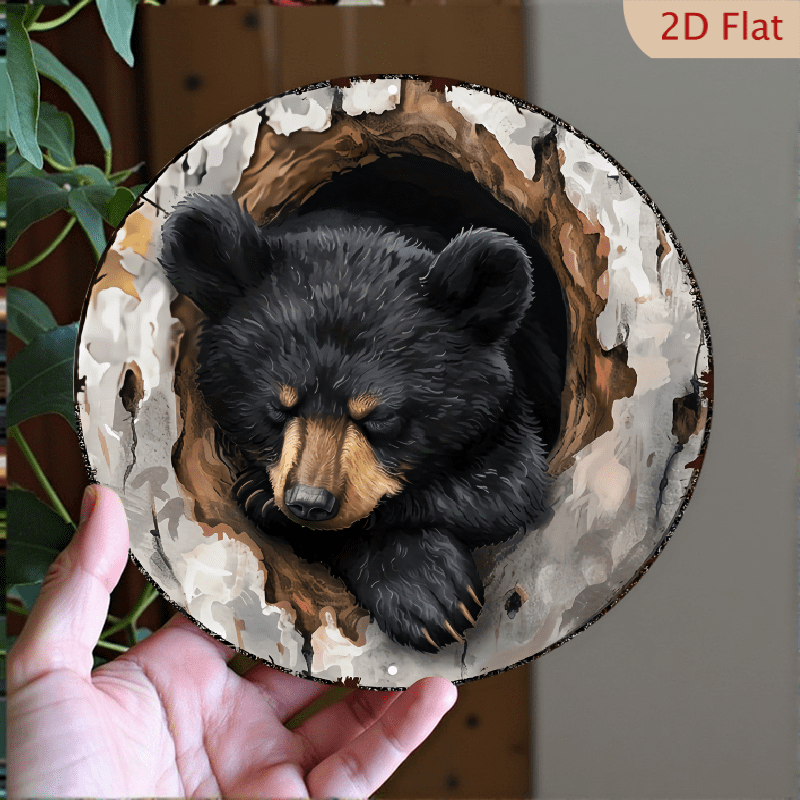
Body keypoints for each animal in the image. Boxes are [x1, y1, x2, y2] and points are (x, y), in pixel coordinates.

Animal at [158, 192, 556, 653]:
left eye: (380, 416)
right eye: (277, 407)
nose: (309, 502)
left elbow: (506, 490)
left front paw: (431, 596)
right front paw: (430, 594)